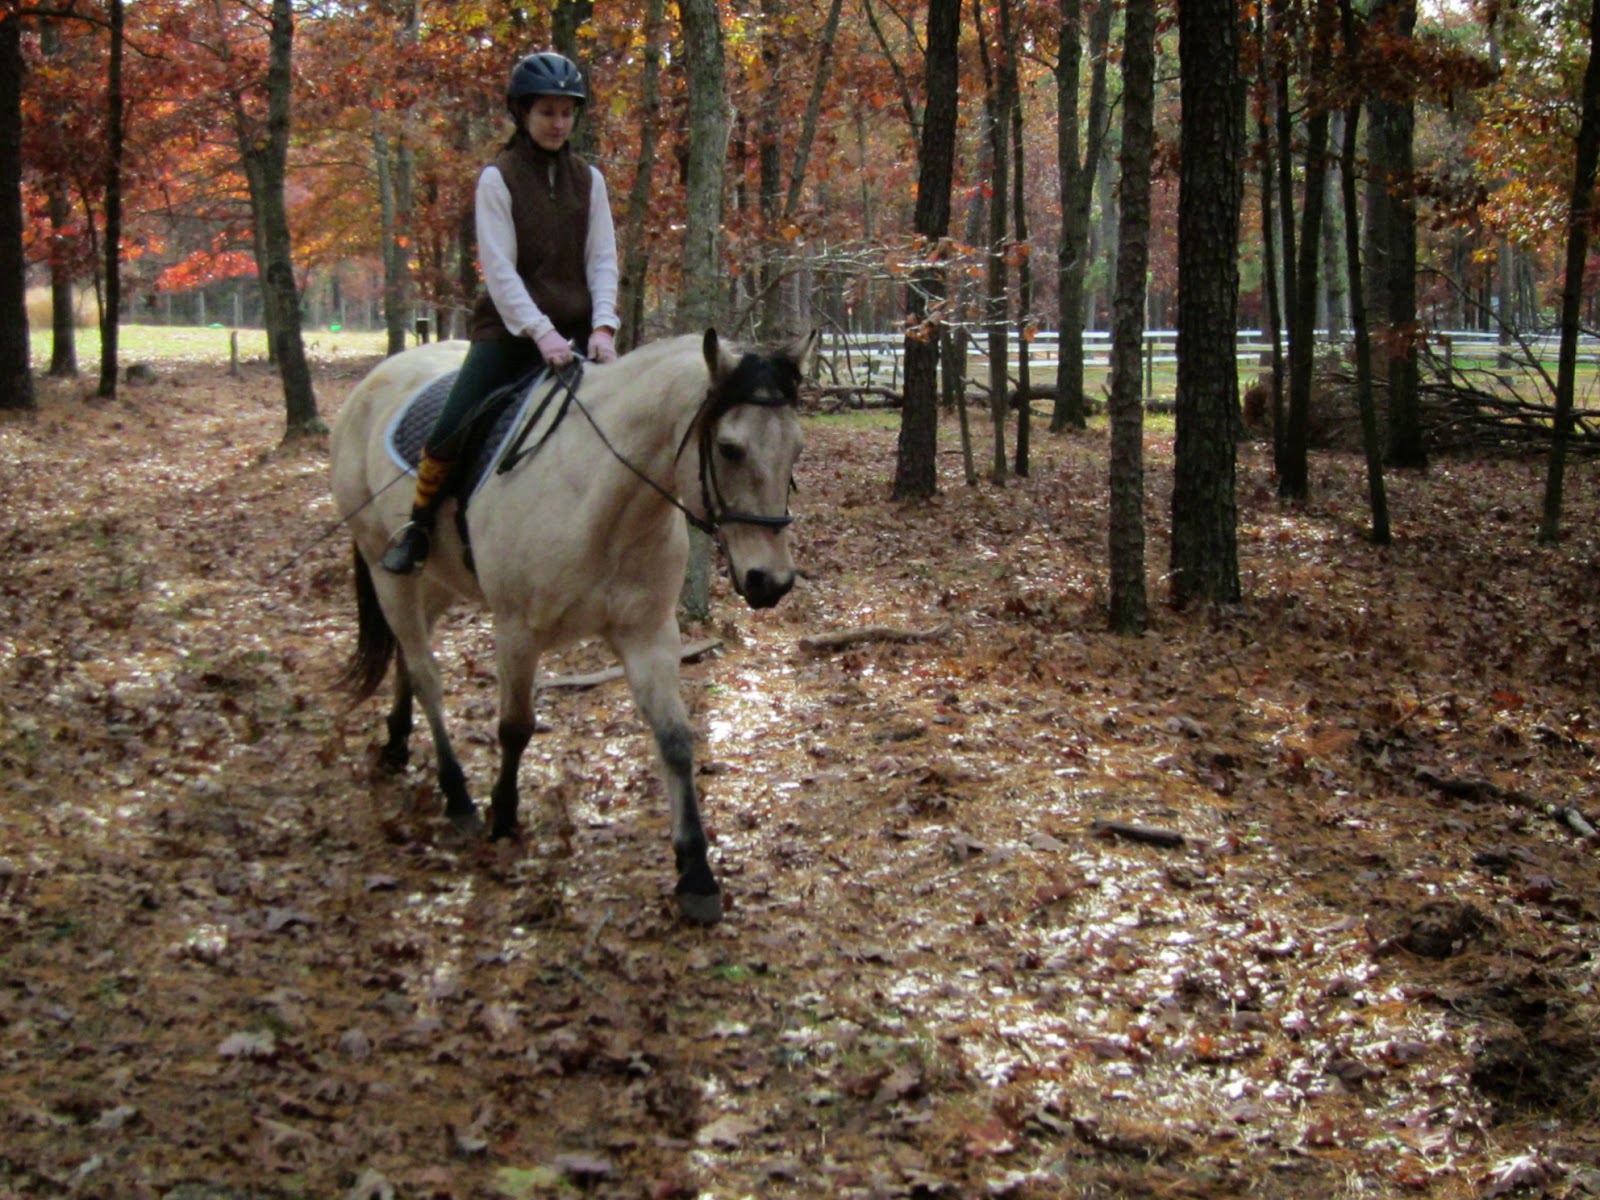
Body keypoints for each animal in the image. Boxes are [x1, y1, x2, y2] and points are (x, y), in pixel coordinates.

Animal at [329, 328, 816, 925]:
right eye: (729, 448)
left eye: (796, 448)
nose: (771, 582)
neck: (607, 503)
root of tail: (375, 380)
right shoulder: (516, 631)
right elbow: (515, 727)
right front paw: (503, 816)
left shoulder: (650, 637)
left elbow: (676, 739)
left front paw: (696, 873)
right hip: (386, 568)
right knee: (425, 673)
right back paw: (457, 795)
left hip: (436, 581)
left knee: (405, 651)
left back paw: (398, 743)